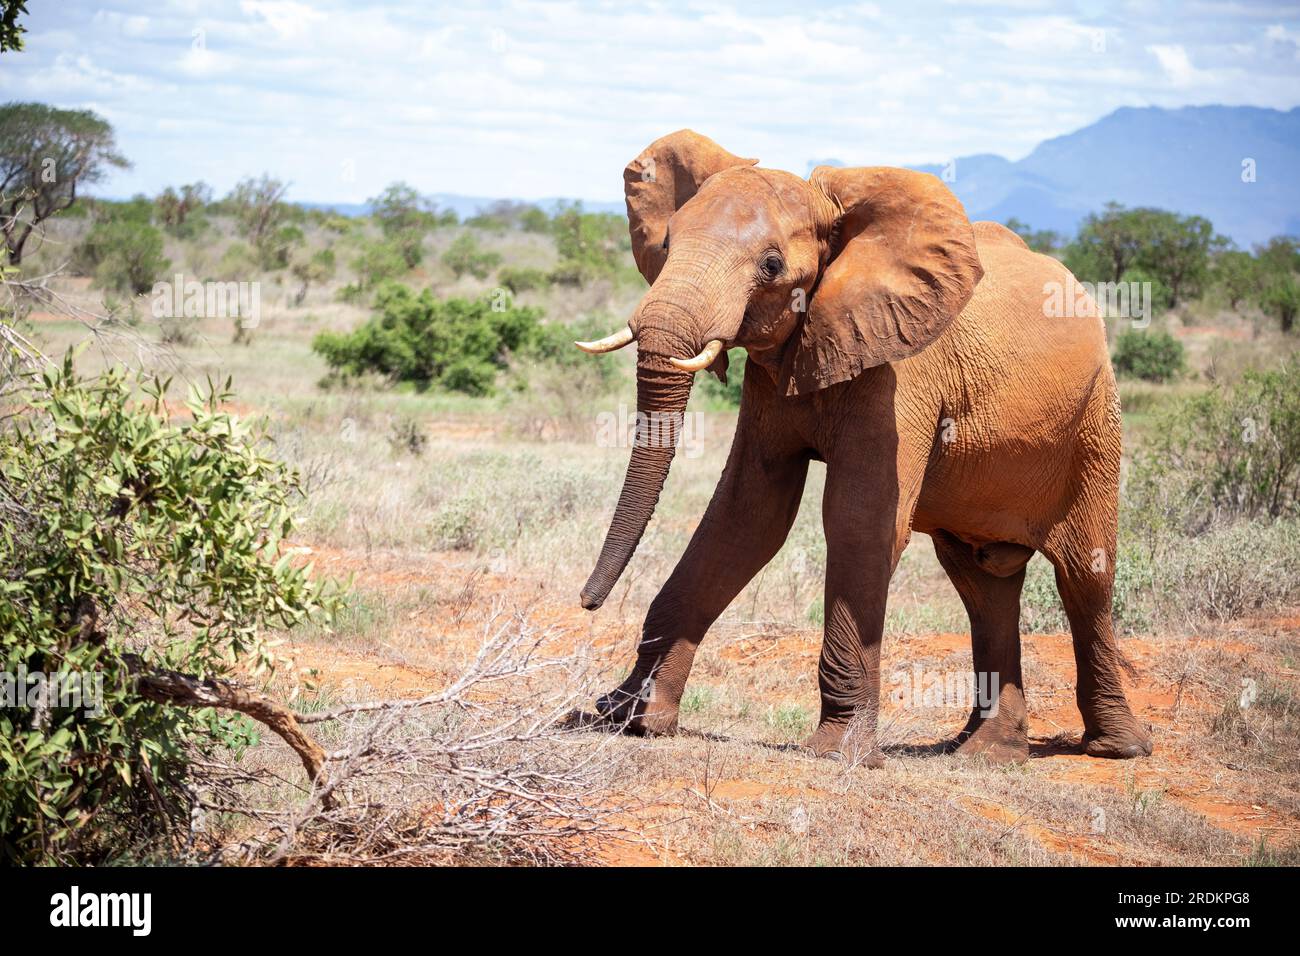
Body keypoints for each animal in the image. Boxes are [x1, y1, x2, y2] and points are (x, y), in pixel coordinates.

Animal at [573, 130, 1153, 765]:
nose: (586, 602)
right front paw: (628, 717)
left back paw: (1119, 749)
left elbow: (860, 523)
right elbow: (747, 517)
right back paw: (985, 754)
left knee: (1086, 575)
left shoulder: (903, 371)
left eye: (771, 266)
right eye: (668, 243)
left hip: (1096, 419)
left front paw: (836, 753)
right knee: (983, 583)